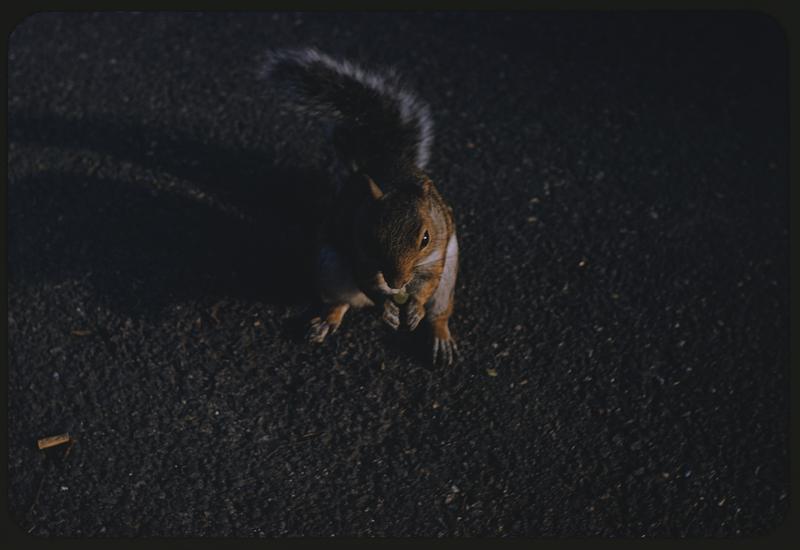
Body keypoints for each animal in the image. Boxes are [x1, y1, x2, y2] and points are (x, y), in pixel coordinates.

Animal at [263, 48, 459, 365]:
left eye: (426, 238)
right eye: (371, 236)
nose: (396, 282)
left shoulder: (438, 254)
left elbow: (428, 282)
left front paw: (415, 308)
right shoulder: (361, 253)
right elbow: (367, 280)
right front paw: (386, 308)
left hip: (449, 277)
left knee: (439, 311)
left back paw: (440, 336)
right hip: (330, 268)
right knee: (341, 302)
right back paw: (327, 321)